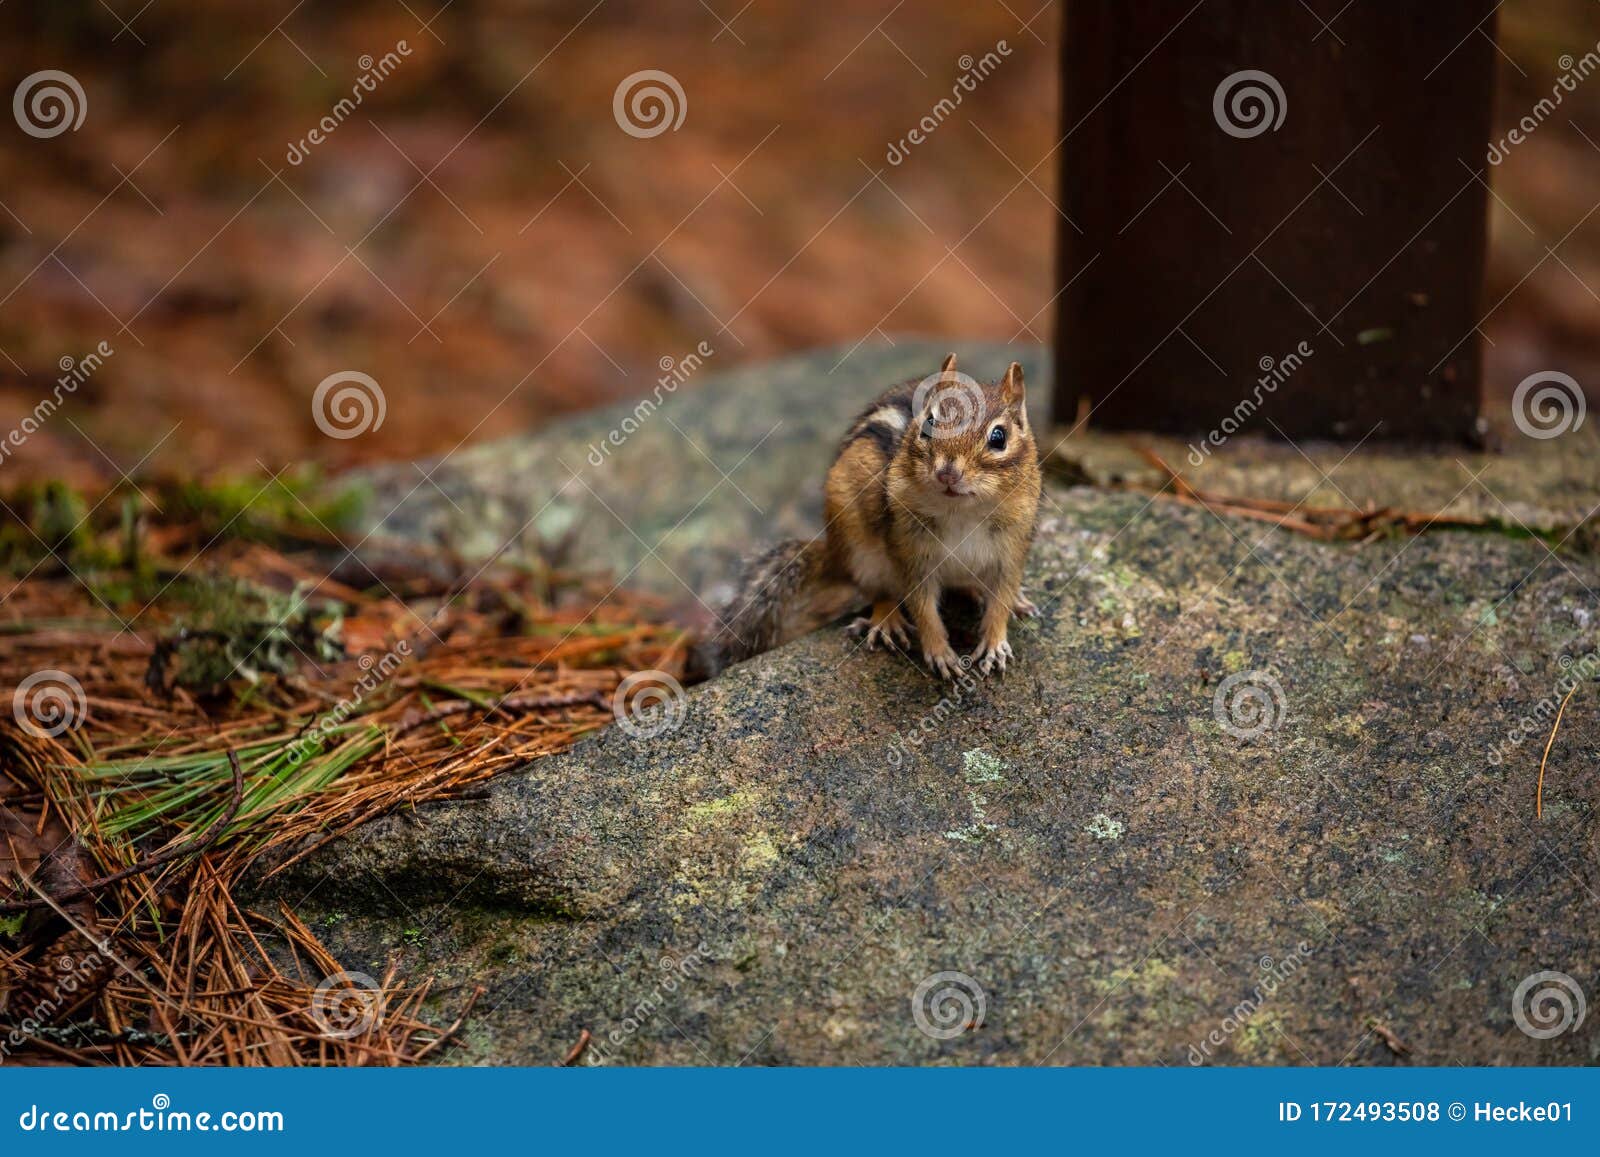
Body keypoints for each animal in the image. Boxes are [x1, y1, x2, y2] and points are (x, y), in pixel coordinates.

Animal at [697, 354, 1041, 679]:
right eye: (928, 423)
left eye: (998, 437)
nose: (947, 472)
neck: (961, 512)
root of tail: (834, 552)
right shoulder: (910, 554)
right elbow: (923, 608)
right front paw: (939, 652)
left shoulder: (1011, 552)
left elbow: (1001, 598)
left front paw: (995, 643)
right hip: (863, 555)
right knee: (879, 592)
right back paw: (887, 619)